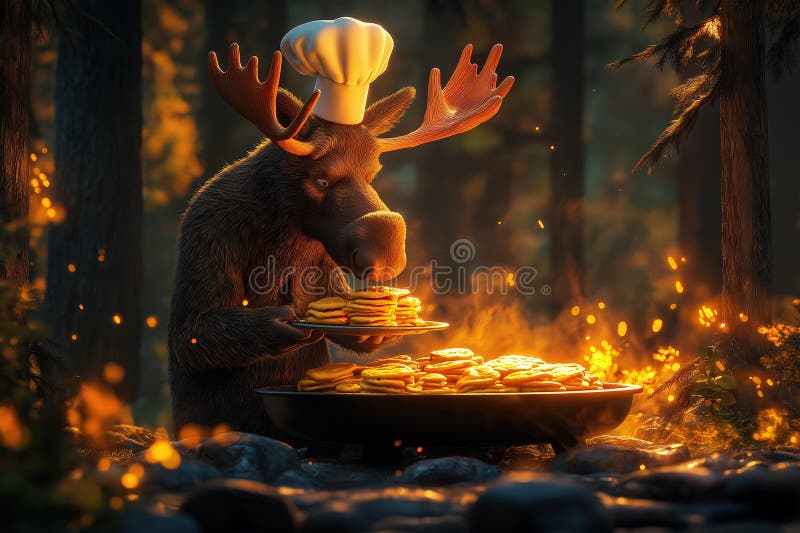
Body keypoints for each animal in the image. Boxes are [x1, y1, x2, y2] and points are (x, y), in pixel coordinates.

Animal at [168, 42, 513, 435]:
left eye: (372, 174)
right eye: (321, 179)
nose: (385, 256)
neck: (287, 243)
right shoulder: (208, 234)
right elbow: (193, 334)